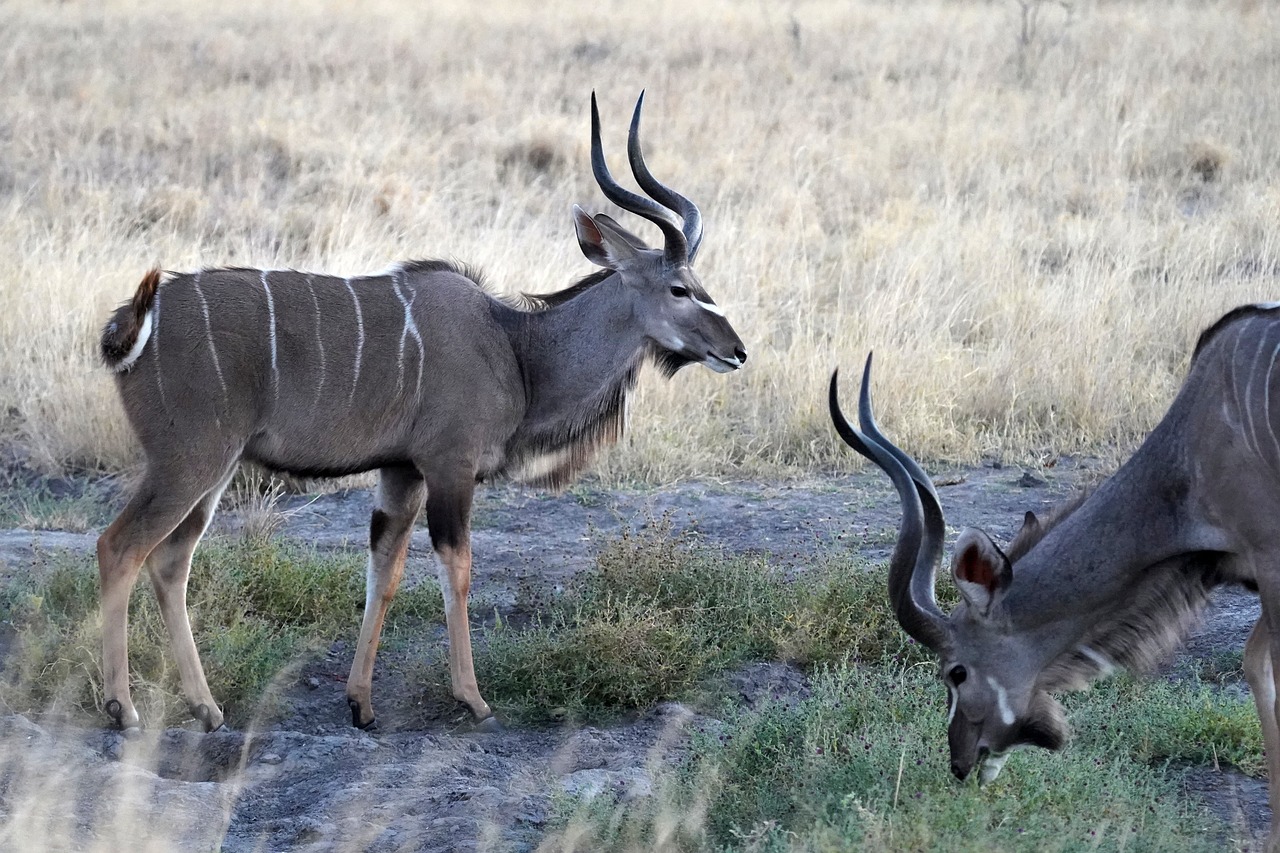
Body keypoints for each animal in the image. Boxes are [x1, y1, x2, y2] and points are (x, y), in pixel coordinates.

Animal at [97, 92, 746, 734]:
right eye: (680, 289)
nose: (736, 350)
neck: (514, 347)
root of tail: (135, 320)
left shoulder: (401, 471)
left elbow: (384, 573)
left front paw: (360, 704)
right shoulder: (448, 466)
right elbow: (457, 568)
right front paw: (473, 699)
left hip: (215, 469)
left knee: (171, 561)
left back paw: (206, 708)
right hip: (188, 461)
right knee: (120, 547)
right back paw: (123, 708)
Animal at [830, 303, 1280, 846]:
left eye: (956, 673)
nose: (960, 763)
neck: (1189, 455)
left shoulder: (1271, 557)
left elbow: (1263, 671)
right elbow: (1256, 668)